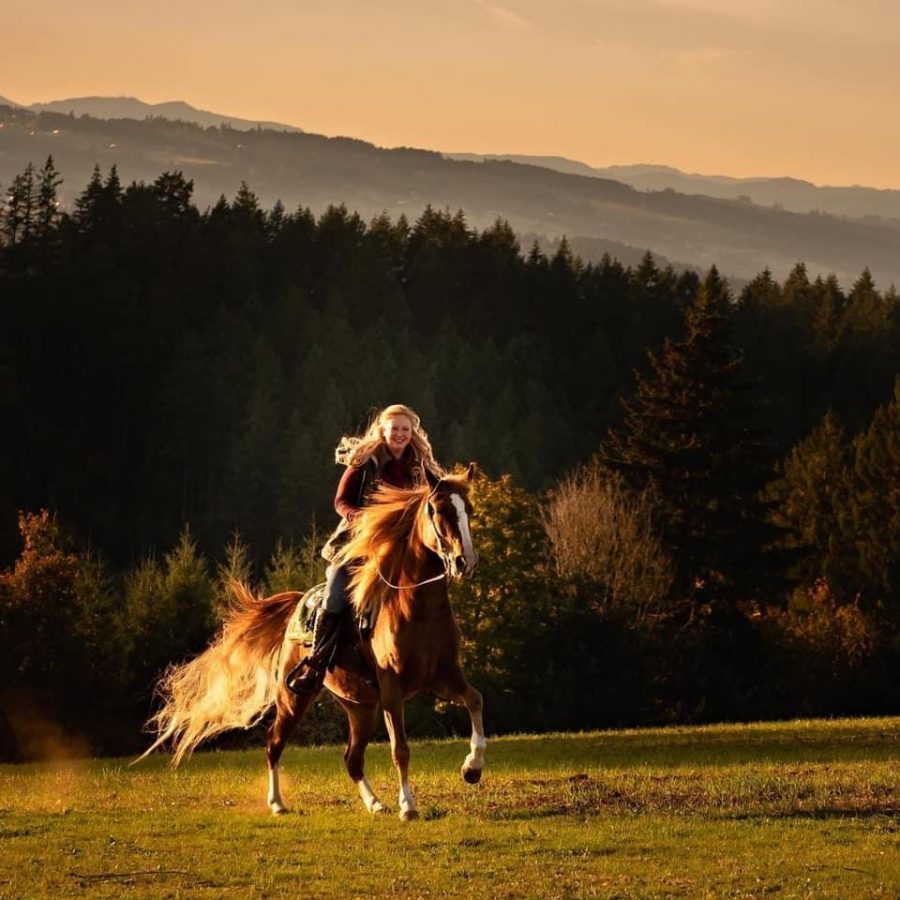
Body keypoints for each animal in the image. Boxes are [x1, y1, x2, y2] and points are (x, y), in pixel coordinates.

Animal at [139, 465, 485, 821]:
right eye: (440, 510)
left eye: (469, 511)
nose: (465, 562)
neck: (415, 607)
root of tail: (295, 605)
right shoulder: (393, 688)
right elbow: (400, 749)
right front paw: (409, 806)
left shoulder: (444, 676)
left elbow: (475, 699)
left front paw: (471, 768)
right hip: (294, 697)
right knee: (274, 742)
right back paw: (278, 803)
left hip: (360, 707)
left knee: (351, 758)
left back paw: (375, 803)